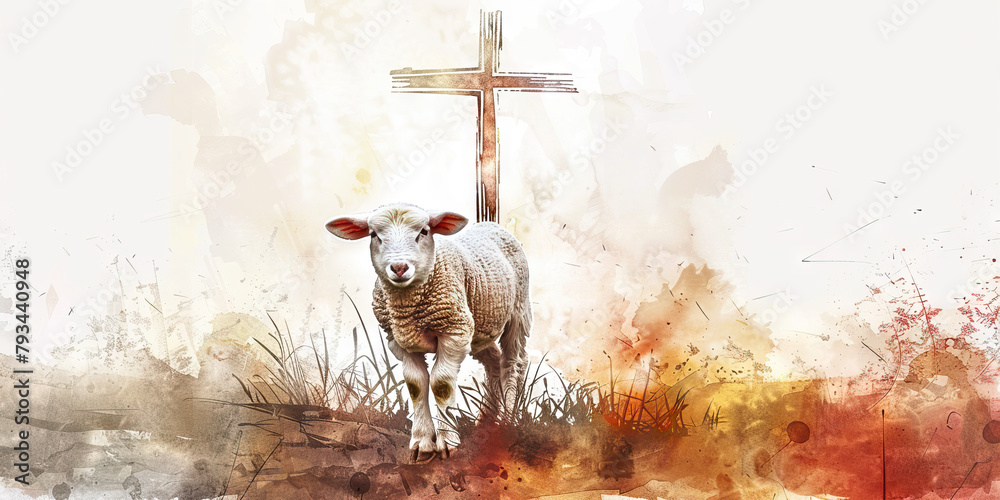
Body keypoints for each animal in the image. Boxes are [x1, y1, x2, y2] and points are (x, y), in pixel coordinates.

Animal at [325, 203, 531, 460]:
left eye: (423, 232)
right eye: (374, 235)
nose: (399, 267)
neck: (409, 306)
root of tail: (491, 223)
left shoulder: (453, 331)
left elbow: (441, 384)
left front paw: (447, 442)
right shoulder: (399, 340)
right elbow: (415, 385)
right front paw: (421, 443)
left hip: (517, 312)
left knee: (513, 363)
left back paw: (507, 420)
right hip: (479, 326)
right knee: (493, 359)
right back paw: (486, 421)